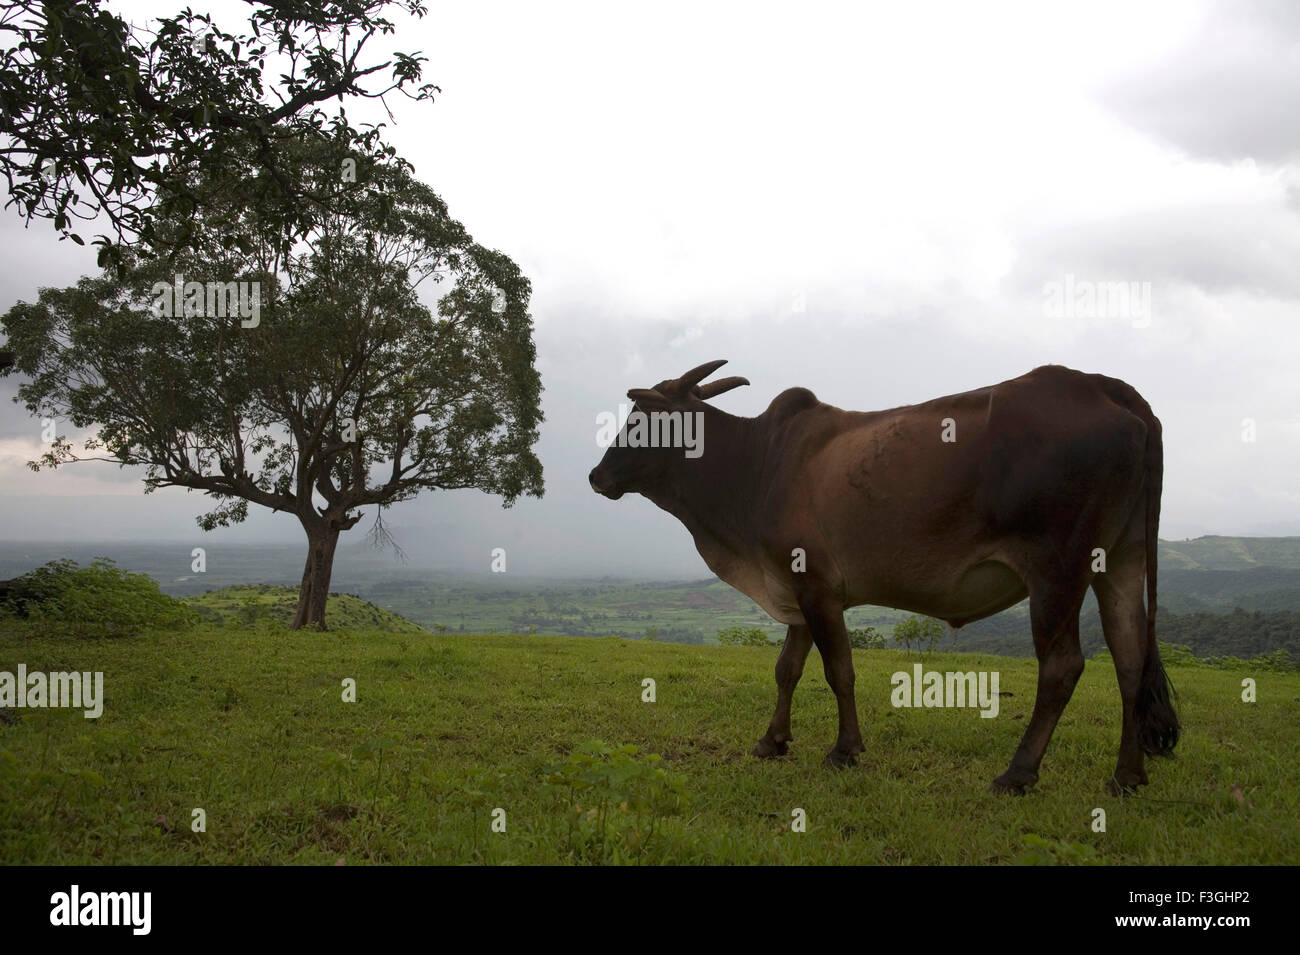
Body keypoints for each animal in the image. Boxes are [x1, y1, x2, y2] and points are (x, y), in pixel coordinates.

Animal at [589, 360, 1178, 795]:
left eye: (640, 421)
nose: (597, 476)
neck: (755, 466)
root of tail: (1106, 388)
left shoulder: (817, 587)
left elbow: (839, 671)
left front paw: (844, 750)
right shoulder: (794, 586)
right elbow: (787, 670)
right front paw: (772, 741)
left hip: (1057, 570)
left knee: (1063, 667)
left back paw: (1018, 773)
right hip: (1120, 560)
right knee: (1130, 660)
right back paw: (1127, 776)